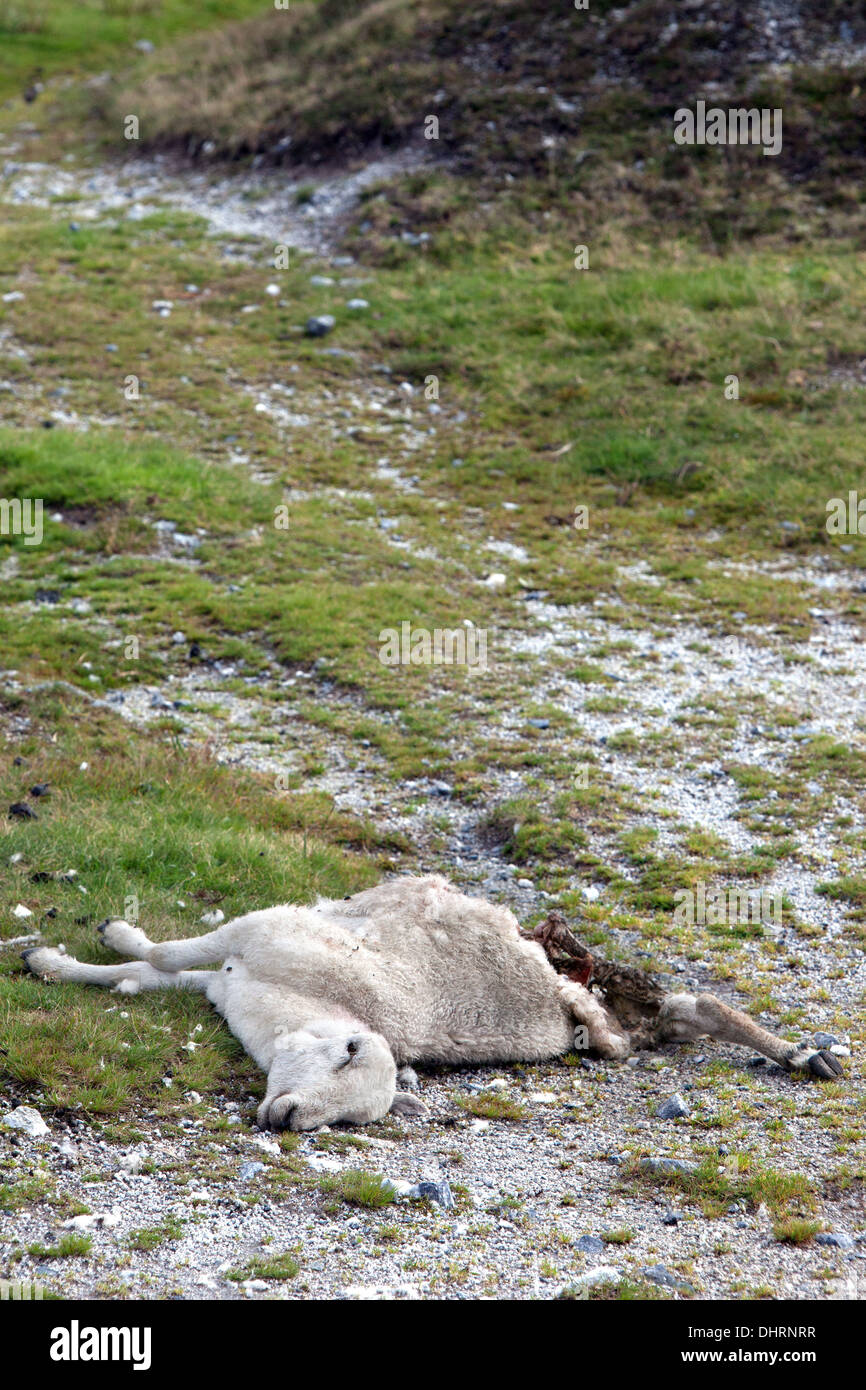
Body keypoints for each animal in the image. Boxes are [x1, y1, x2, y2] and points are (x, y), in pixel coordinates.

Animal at [22, 874, 843, 1130]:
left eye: (351, 1118)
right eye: (349, 1052)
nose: (288, 1120)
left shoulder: (240, 962)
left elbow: (153, 971)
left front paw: (60, 961)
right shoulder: (252, 941)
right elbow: (156, 960)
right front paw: (74, 952)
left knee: (691, 1007)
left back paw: (804, 1055)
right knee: (687, 1007)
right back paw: (804, 1053)